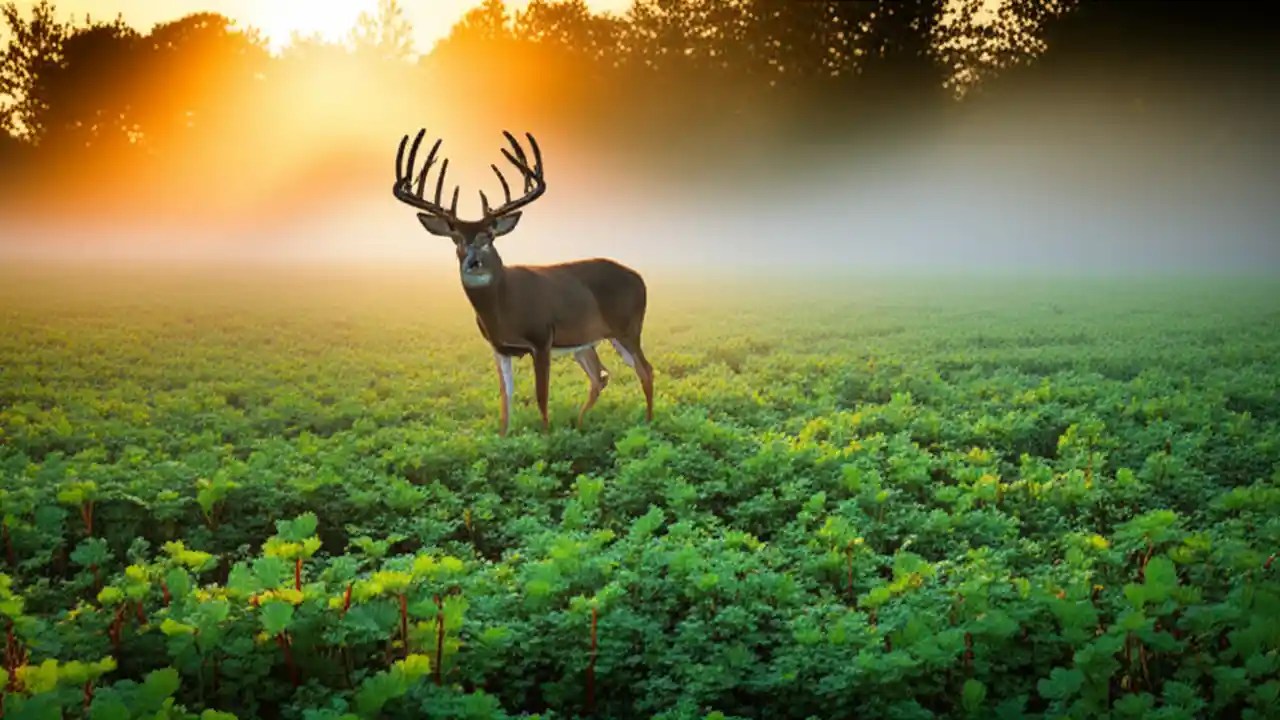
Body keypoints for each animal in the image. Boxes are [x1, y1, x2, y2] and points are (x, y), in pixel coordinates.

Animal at [392, 128, 654, 436]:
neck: (503, 309)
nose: (473, 263)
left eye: (489, 236)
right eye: (456, 239)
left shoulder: (541, 338)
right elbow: (505, 399)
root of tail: (640, 278)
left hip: (628, 327)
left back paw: (648, 422)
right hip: (587, 340)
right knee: (600, 376)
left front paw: (546, 436)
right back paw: (580, 425)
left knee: (644, 369)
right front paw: (504, 437)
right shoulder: (498, 347)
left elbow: (541, 396)